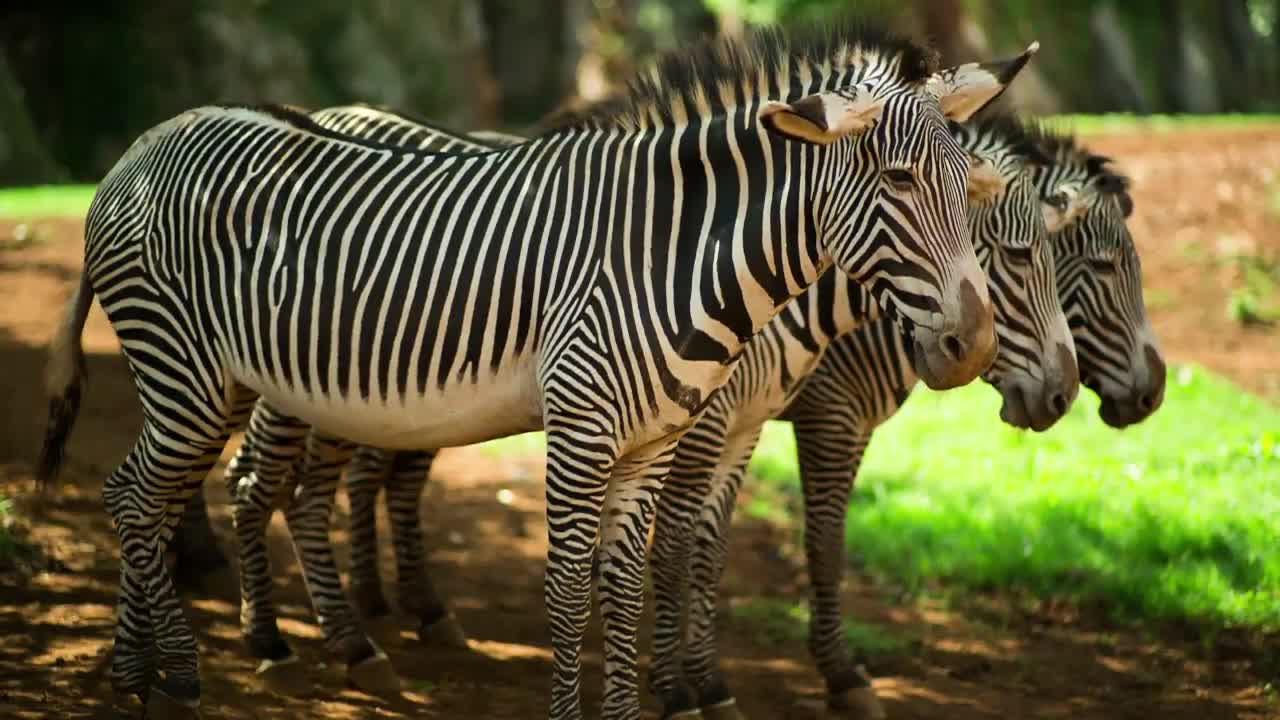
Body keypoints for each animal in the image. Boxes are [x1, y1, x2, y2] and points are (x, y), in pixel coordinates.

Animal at [38, 27, 1037, 720]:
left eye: (967, 191)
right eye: (900, 181)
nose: (972, 349)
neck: (679, 256)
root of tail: (142, 145)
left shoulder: (652, 443)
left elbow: (624, 590)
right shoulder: (585, 426)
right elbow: (566, 591)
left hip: (228, 382)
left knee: (154, 497)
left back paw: (143, 672)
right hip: (186, 371)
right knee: (139, 495)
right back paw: (180, 677)